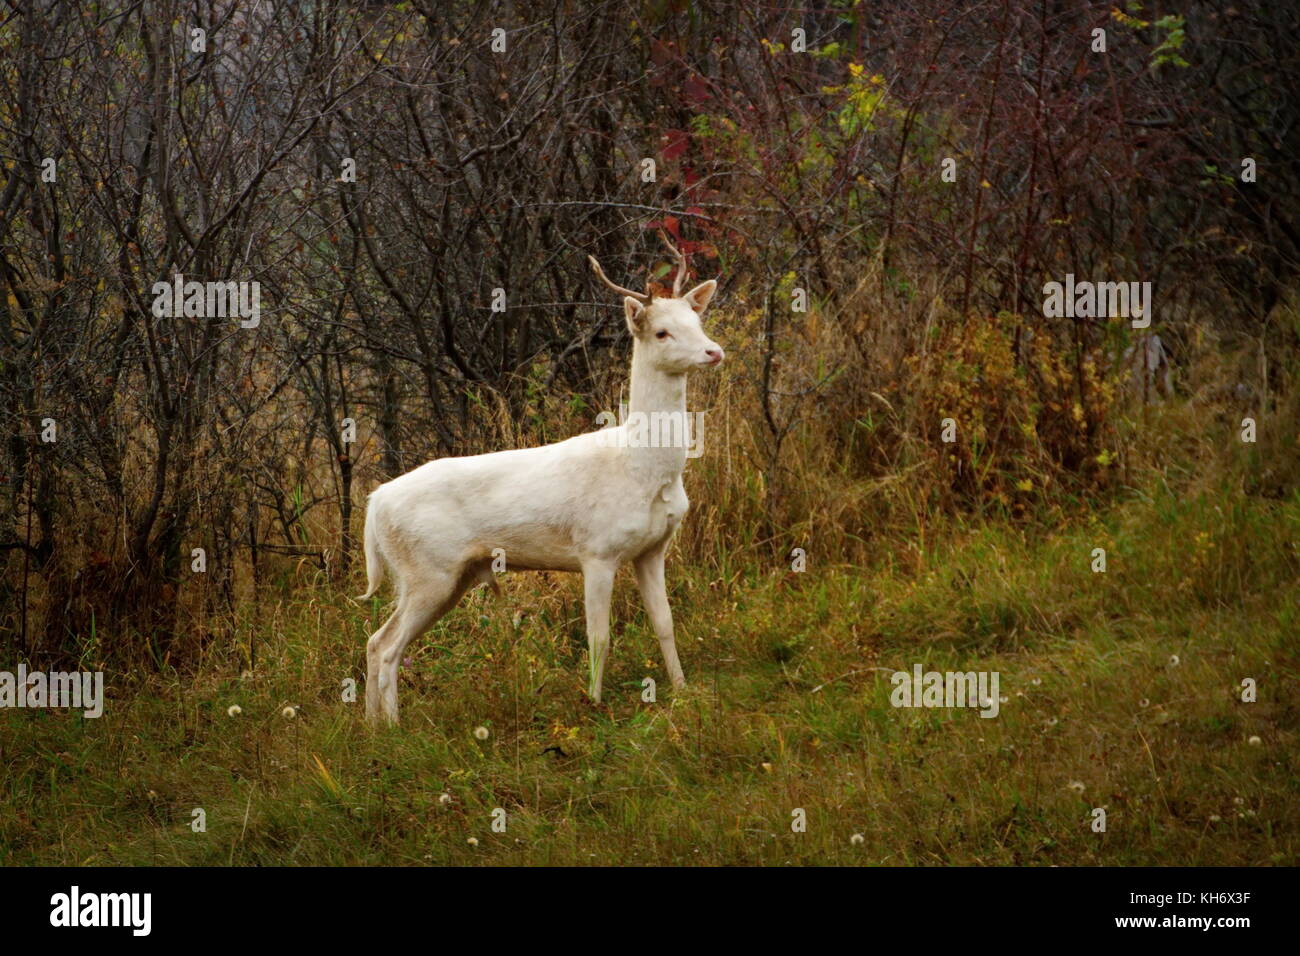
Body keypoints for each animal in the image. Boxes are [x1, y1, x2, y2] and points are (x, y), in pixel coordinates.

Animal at [357, 233, 723, 725]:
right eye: (662, 332)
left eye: (695, 320)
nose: (713, 351)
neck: (642, 467)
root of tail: (375, 503)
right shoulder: (596, 550)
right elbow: (599, 637)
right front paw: (593, 703)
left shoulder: (652, 550)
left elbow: (665, 623)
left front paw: (682, 691)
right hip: (425, 569)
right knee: (387, 645)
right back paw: (394, 728)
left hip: (451, 575)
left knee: (376, 641)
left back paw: (373, 726)